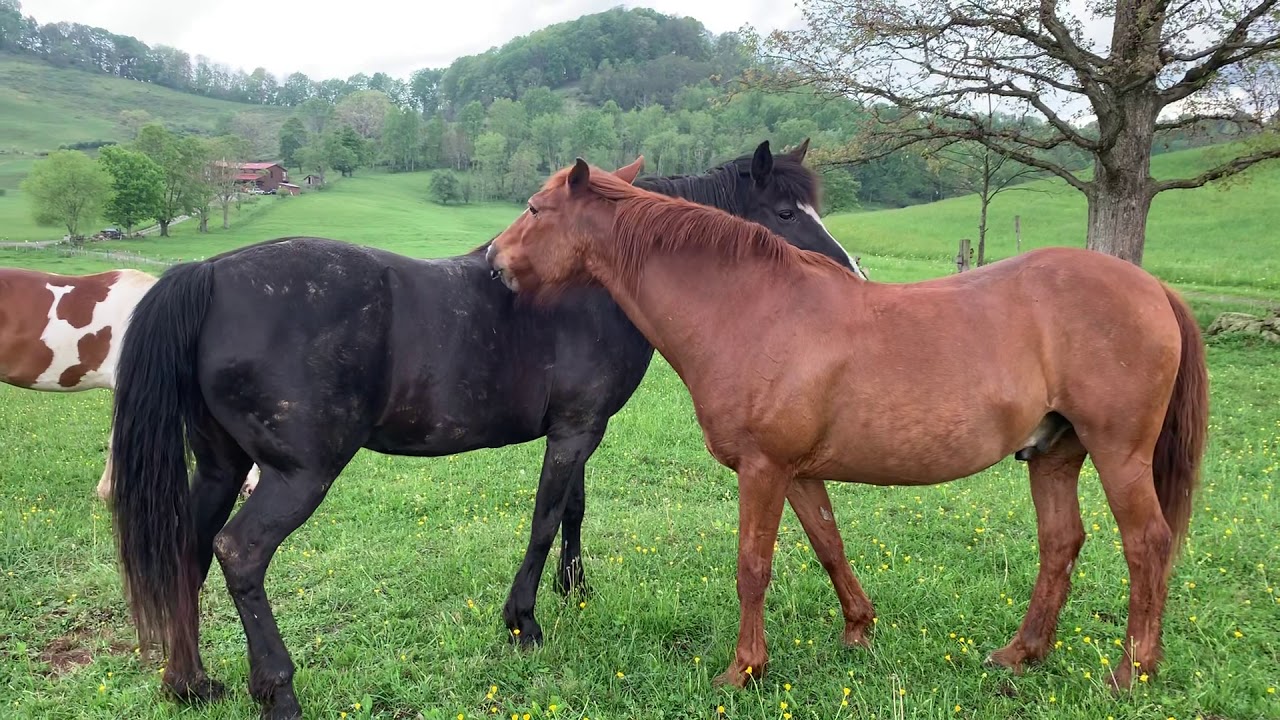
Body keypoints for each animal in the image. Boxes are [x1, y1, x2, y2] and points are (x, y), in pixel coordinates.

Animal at [106, 142, 863, 719]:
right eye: (787, 211)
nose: (851, 272)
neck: (591, 280)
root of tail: (210, 275)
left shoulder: (578, 428)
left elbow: (573, 509)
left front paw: (574, 590)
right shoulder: (576, 430)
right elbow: (545, 516)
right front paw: (524, 621)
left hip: (222, 464)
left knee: (189, 547)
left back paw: (189, 682)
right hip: (297, 475)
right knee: (240, 553)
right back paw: (278, 691)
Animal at [484, 159, 1209, 692]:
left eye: (535, 209)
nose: (493, 262)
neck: (750, 309)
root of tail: (1152, 288)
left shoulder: (763, 470)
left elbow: (753, 566)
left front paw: (743, 670)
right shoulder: (797, 473)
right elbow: (829, 544)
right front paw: (858, 629)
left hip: (1119, 454)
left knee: (1147, 544)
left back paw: (1131, 673)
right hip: (1055, 453)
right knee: (1061, 544)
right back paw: (1021, 654)